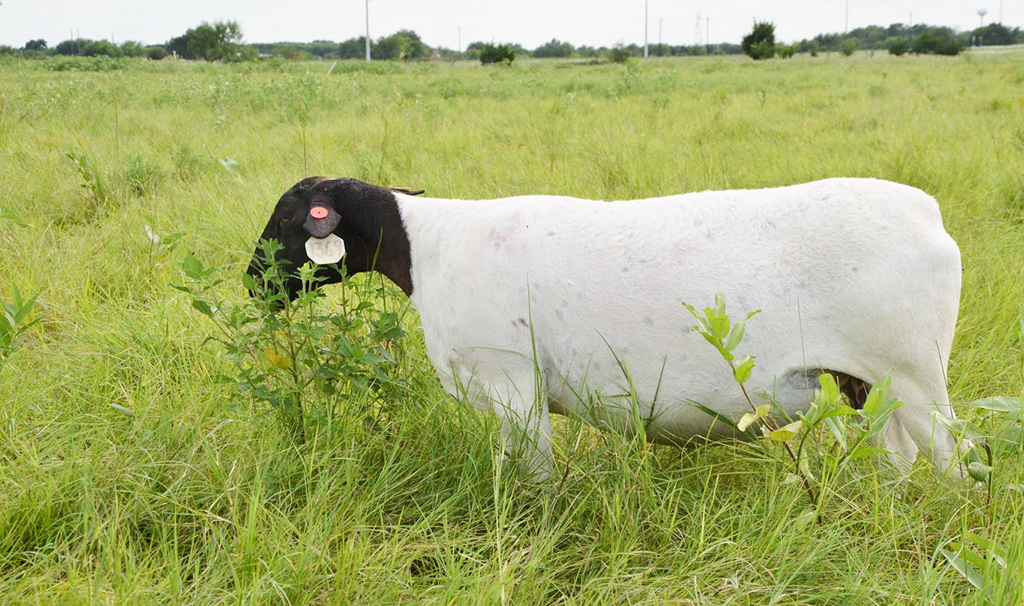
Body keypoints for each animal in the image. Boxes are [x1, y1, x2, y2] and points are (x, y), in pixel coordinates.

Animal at [248, 176, 967, 479]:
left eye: (286, 217)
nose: (252, 285)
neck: (430, 247)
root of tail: (926, 211)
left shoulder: (513, 382)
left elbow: (536, 479)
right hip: (867, 383)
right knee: (898, 458)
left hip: (915, 373)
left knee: (954, 461)